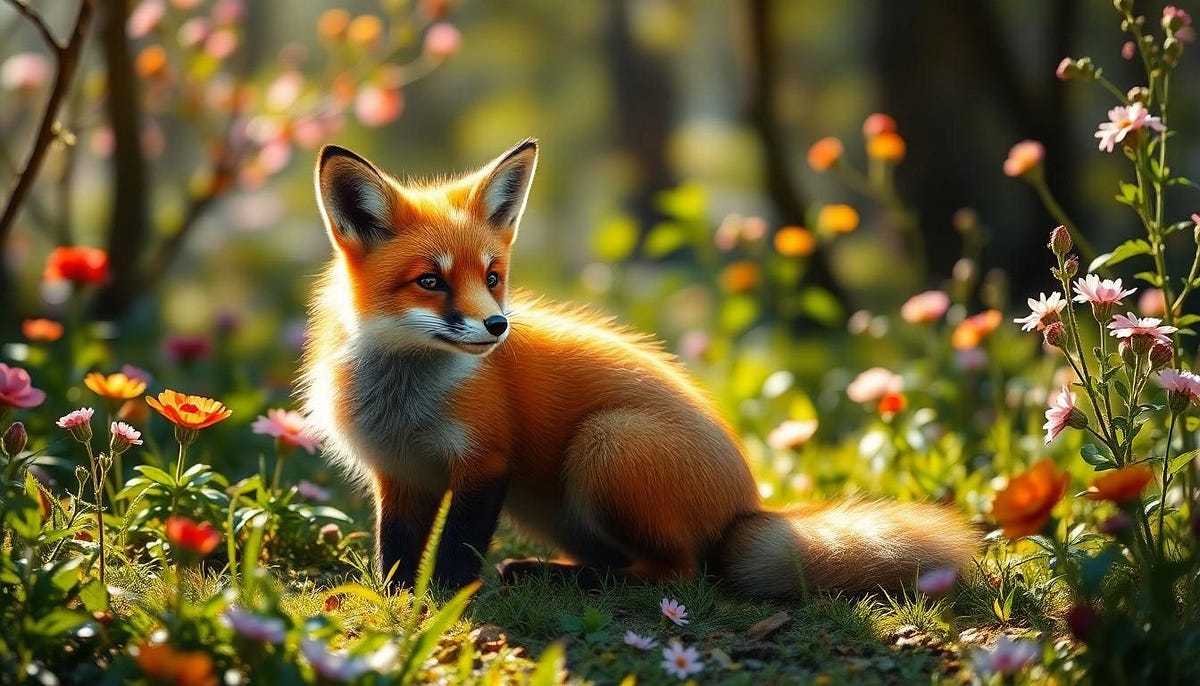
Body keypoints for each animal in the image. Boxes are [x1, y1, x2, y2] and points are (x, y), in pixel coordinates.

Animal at [299, 139, 978, 597]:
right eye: (430, 282)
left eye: (492, 277)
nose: (496, 327)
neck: (403, 399)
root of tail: (751, 505)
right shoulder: (398, 474)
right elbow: (394, 552)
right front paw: (394, 601)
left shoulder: (485, 462)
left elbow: (458, 549)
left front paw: (445, 601)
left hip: (607, 444)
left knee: (678, 573)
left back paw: (562, 580)